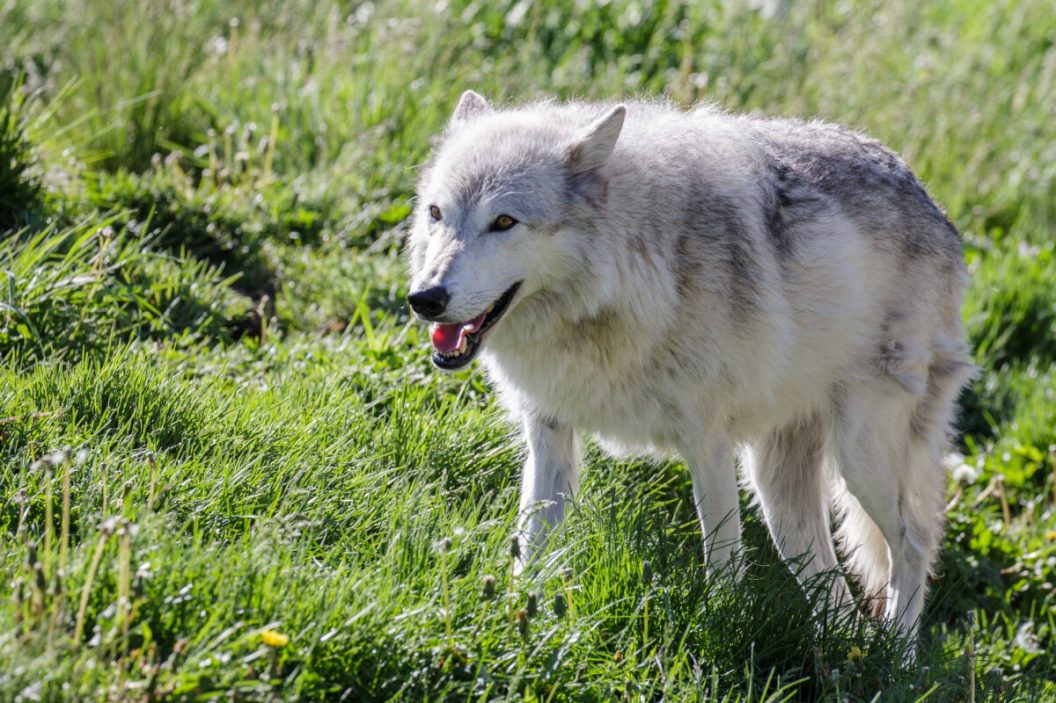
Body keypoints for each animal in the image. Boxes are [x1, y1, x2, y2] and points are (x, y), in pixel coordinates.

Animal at [405, 91, 973, 639]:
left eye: (504, 222)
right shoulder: (549, 434)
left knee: (914, 542)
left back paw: (896, 654)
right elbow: (531, 550)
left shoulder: (708, 445)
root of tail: (936, 208)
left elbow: (723, 564)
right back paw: (849, 657)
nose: (425, 298)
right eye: (436, 214)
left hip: (858, 459)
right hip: (776, 491)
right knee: (835, 594)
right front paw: (514, 624)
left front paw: (719, 634)